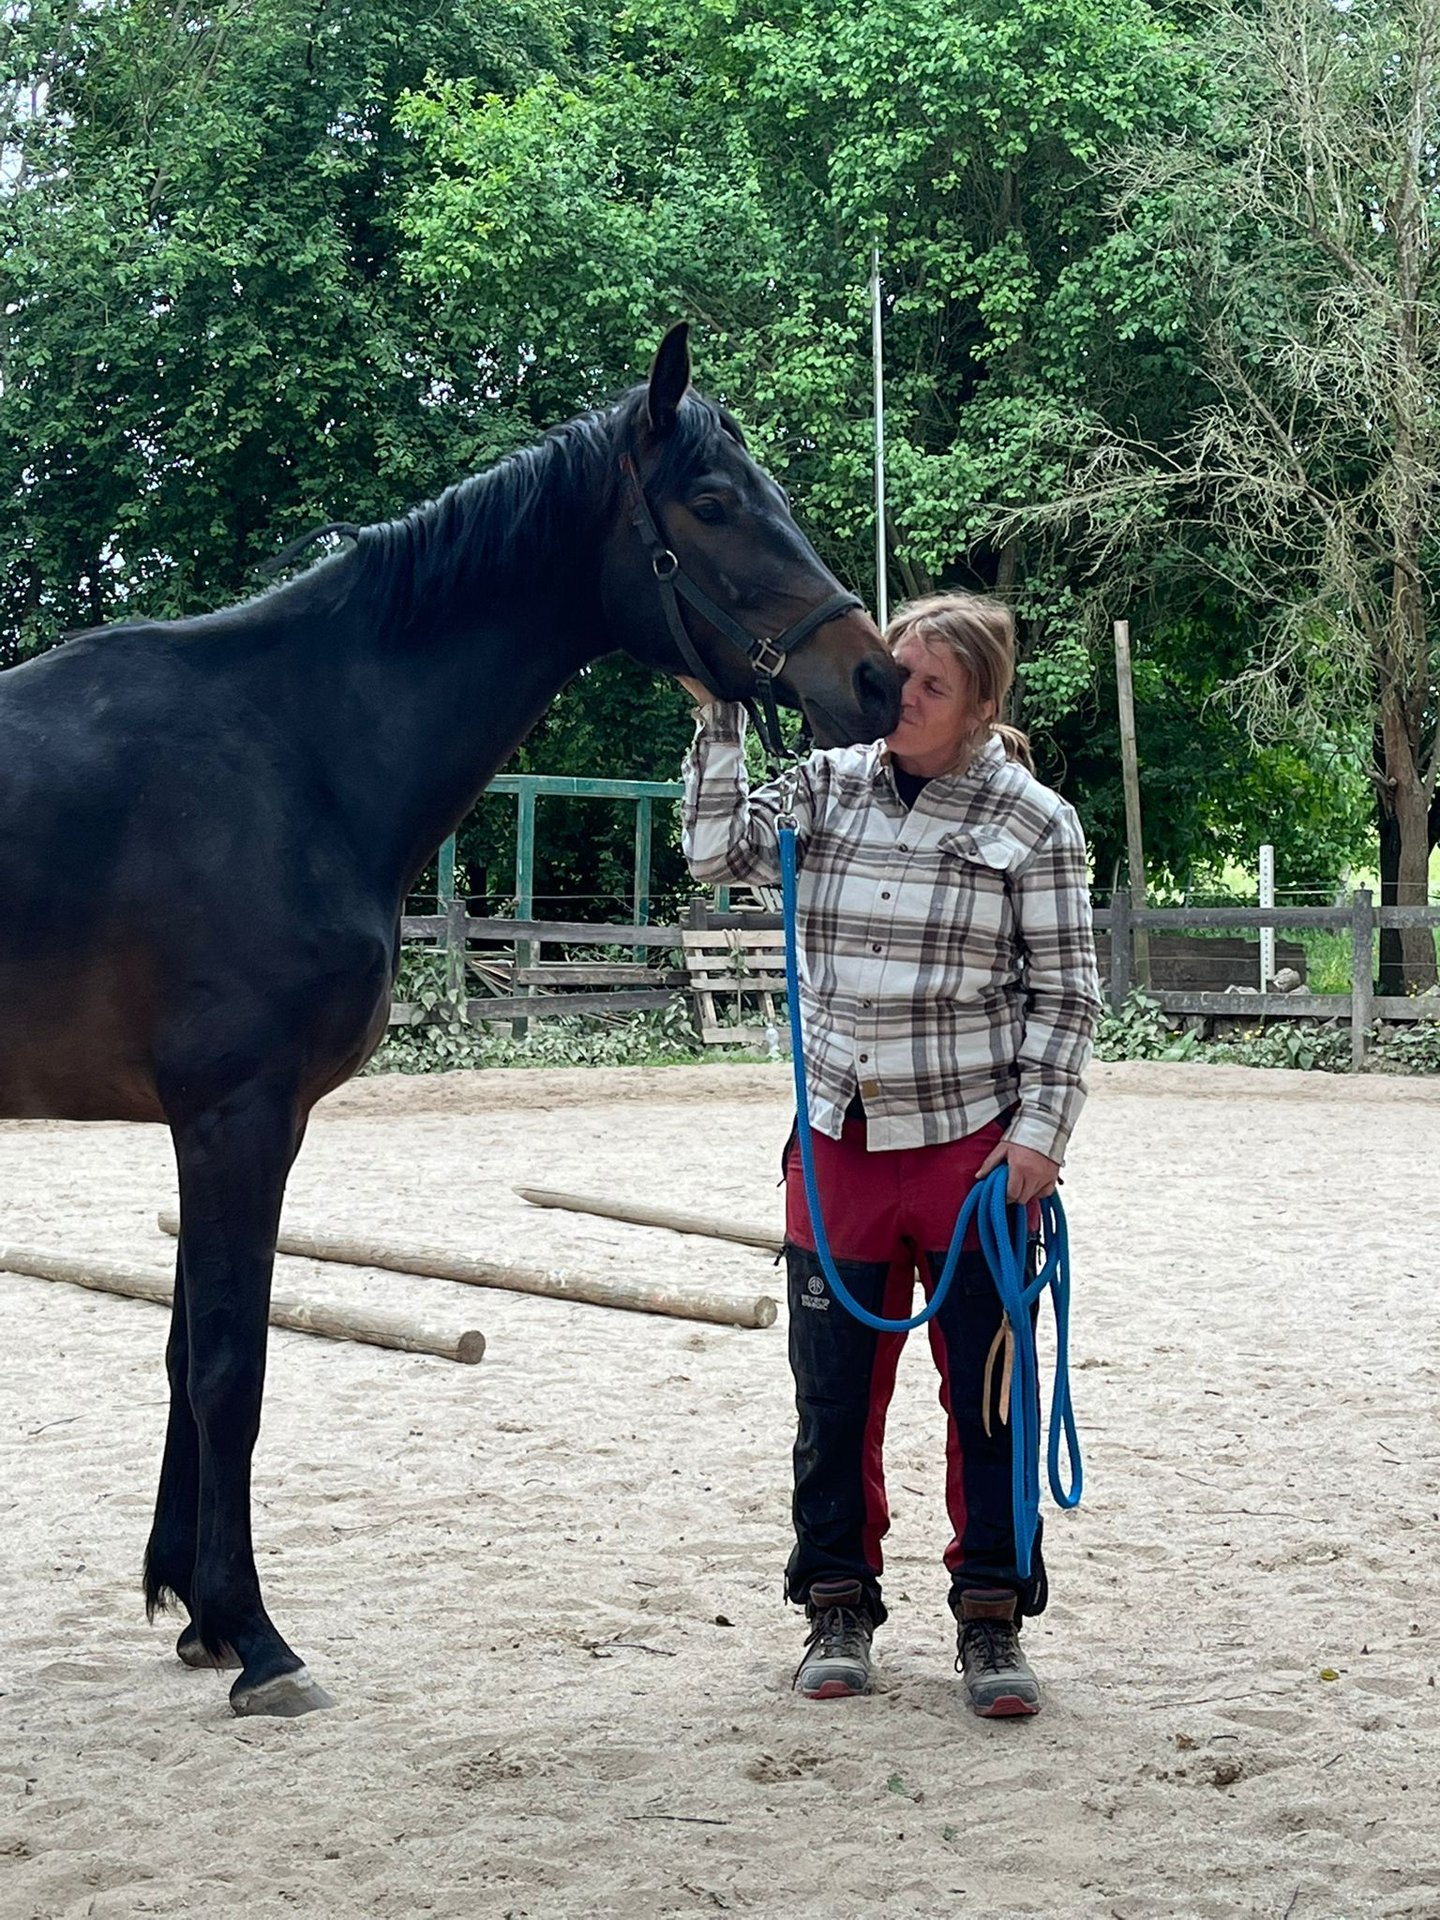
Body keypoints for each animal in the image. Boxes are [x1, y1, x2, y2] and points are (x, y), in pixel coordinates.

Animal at [0, 324, 901, 1717]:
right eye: (711, 503)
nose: (873, 673)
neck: (289, 755)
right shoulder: (236, 1120)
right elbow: (229, 1370)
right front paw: (256, 1639)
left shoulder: (216, 1128)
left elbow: (187, 1356)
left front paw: (196, 1613)